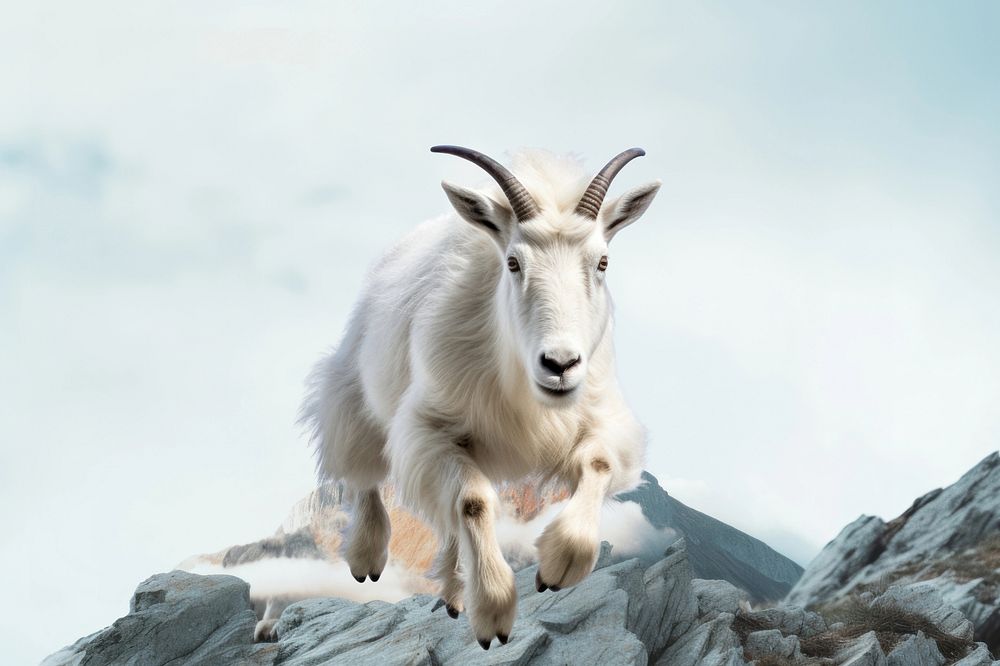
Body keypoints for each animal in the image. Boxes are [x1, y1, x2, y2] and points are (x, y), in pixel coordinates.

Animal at [301, 145, 660, 649]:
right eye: (513, 262)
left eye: (602, 262)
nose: (560, 364)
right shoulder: (430, 429)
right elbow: (473, 502)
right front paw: (492, 612)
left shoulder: (601, 416)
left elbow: (597, 463)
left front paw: (558, 565)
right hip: (356, 383)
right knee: (362, 465)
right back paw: (367, 557)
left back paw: (454, 593)